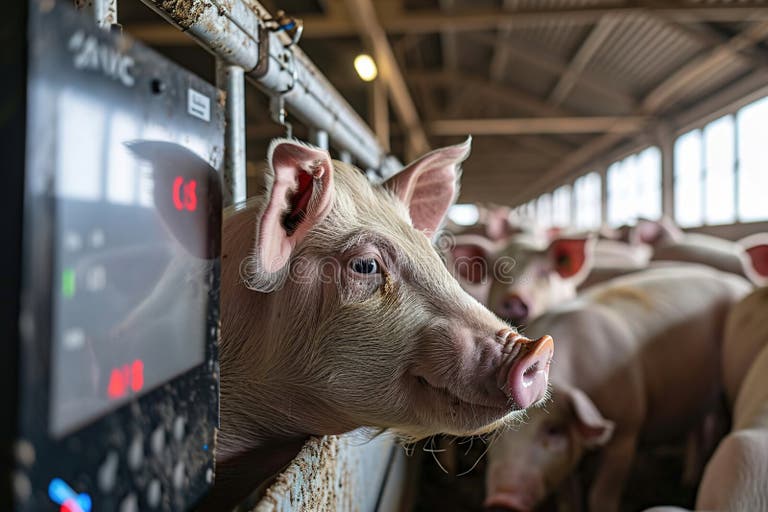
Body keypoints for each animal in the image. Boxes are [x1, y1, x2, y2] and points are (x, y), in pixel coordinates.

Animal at [484, 266, 751, 512]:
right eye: (495, 434)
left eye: (553, 430)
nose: (503, 500)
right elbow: (569, 499)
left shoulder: (627, 430)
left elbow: (601, 496)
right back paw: (689, 478)